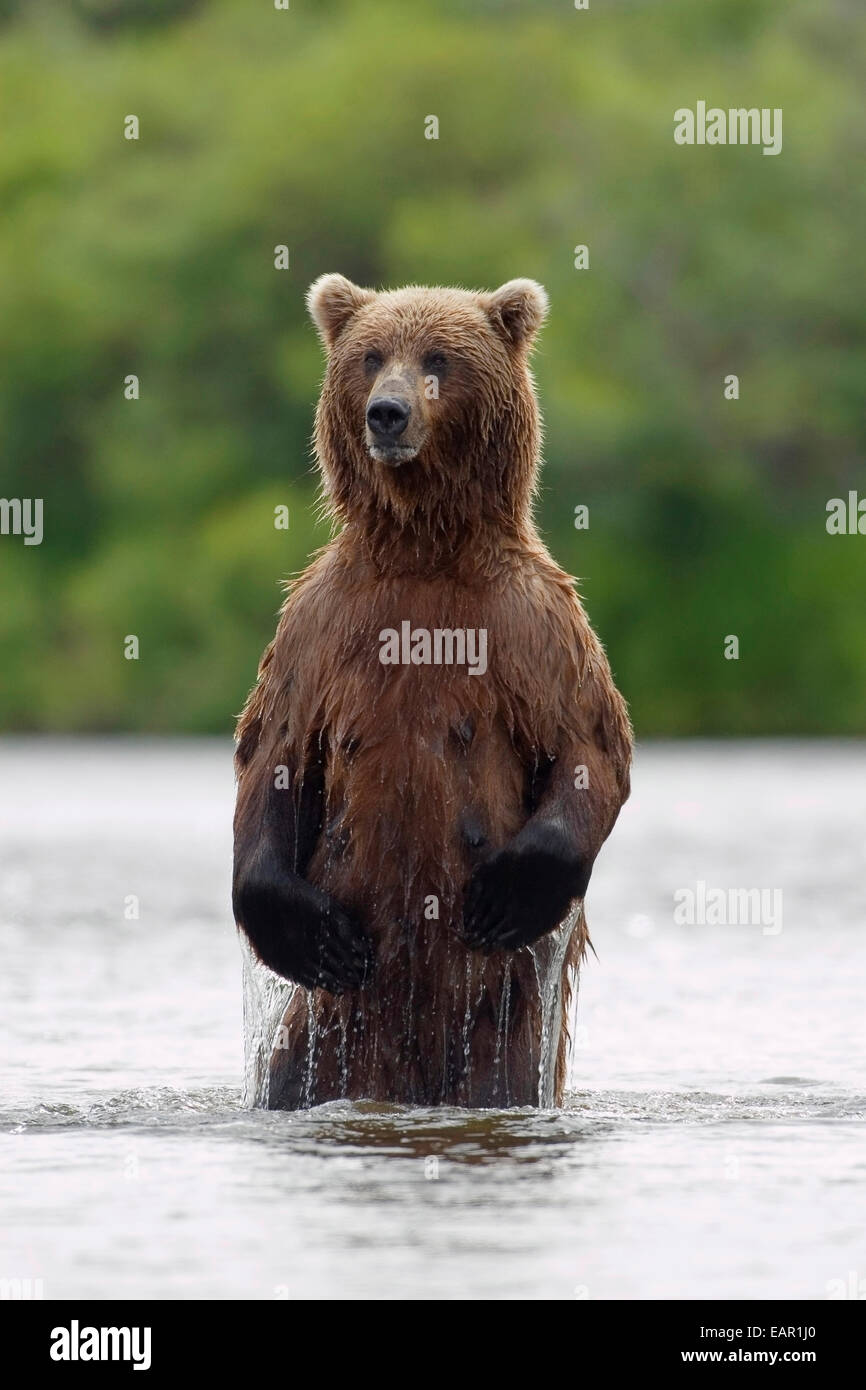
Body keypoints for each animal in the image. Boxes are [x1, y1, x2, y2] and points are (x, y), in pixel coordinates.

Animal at [233, 274, 632, 1109]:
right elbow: (273, 751)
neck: (423, 546)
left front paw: (515, 888)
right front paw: (295, 928)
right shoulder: (318, 627)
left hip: (504, 1022)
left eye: (439, 358)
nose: (386, 412)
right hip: (327, 1027)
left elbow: (590, 744)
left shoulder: (535, 624)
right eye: (371, 355)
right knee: (294, 1070)